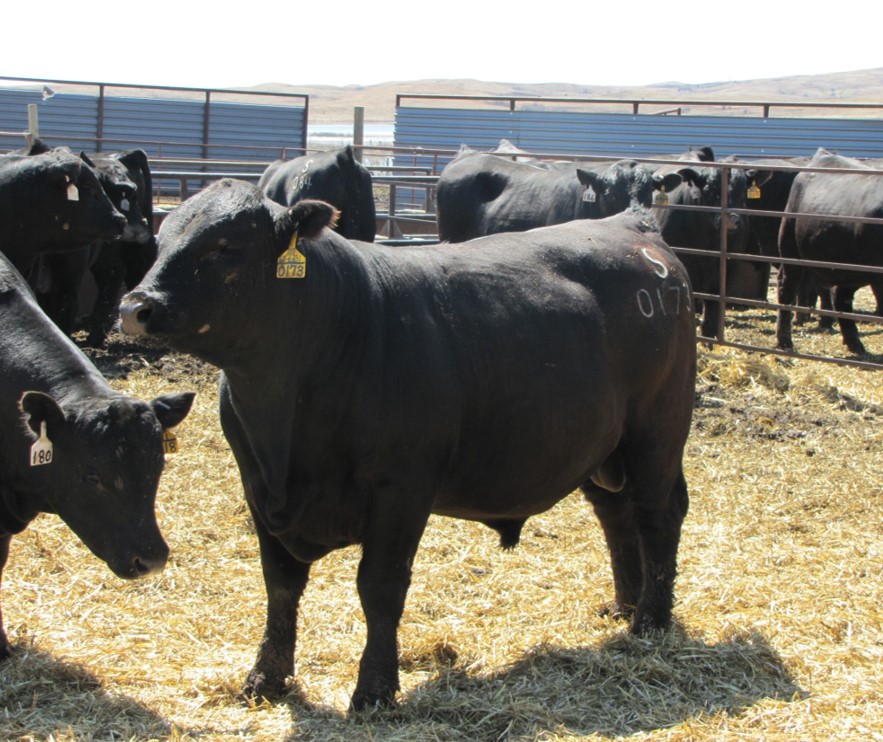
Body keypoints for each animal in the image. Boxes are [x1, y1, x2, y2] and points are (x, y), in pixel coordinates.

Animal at [119, 179, 696, 711]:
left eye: (224, 246)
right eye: (161, 239)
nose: (134, 307)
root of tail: (634, 226)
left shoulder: (401, 488)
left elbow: (379, 587)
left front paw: (374, 690)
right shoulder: (258, 487)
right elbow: (279, 585)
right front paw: (266, 677)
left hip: (658, 431)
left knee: (657, 514)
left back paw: (650, 620)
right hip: (603, 446)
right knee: (615, 513)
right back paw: (624, 606)